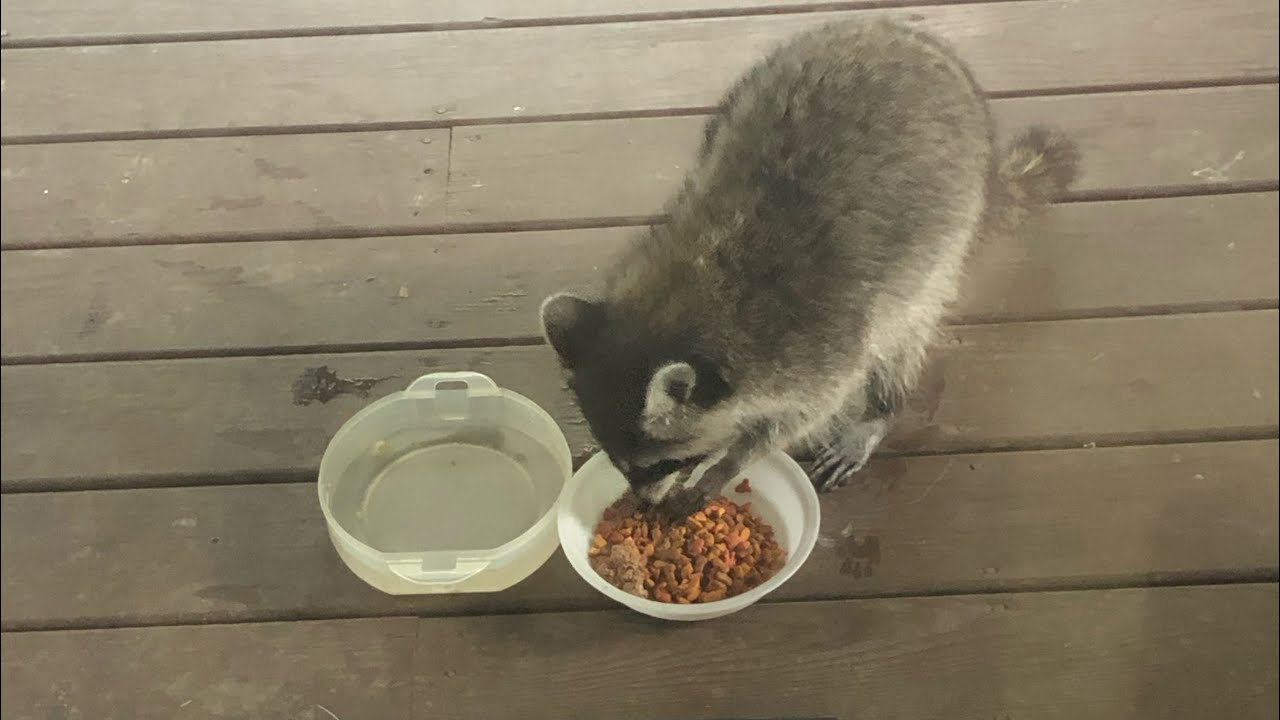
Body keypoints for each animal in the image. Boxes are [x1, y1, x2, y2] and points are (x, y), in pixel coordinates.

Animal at [539, 19, 1079, 511]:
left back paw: (881, 407)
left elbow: (808, 410)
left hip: (942, 240)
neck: (695, 281)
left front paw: (732, 461)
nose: (642, 504)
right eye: (617, 459)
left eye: (661, 463)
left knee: (904, 330)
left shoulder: (818, 342)